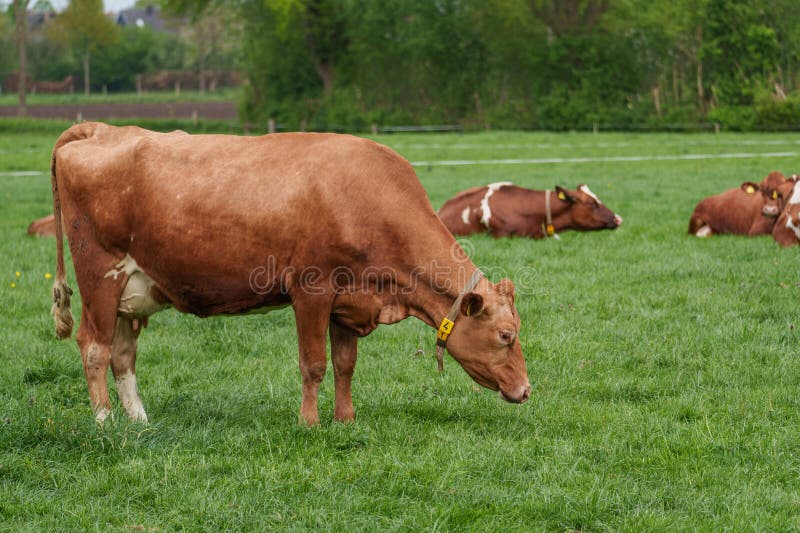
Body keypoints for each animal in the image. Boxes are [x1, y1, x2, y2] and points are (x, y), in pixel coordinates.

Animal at [49, 122, 531, 426]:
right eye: (506, 335)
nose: (527, 390)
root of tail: (102, 129)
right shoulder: (312, 290)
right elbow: (314, 364)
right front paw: (310, 423)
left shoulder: (350, 300)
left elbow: (345, 364)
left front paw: (345, 419)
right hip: (100, 275)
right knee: (94, 347)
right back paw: (105, 421)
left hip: (134, 292)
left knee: (122, 354)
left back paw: (139, 421)